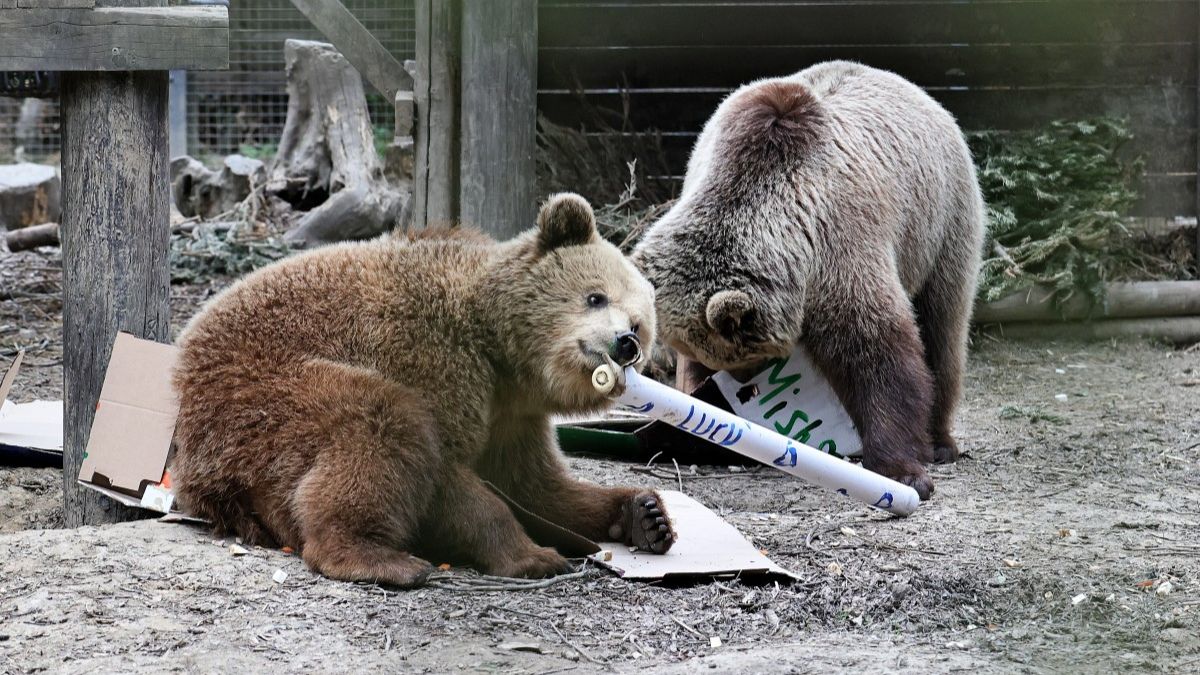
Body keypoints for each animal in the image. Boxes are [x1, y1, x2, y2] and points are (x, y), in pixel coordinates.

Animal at [170, 193, 675, 587]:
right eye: (595, 296)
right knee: (381, 424)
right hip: (260, 393)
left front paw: (645, 514)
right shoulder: (431, 356)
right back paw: (380, 558)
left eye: (639, 325)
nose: (624, 343)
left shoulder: (512, 416)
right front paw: (533, 556)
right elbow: (450, 474)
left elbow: (536, 484)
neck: (499, 352)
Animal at [633, 61, 986, 499]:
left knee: (942, 326)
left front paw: (901, 470)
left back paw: (940, 441)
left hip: (941, 223)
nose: (742, 384)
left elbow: (878, 356)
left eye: (744, 358)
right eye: (720, 360)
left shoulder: (840, 243)